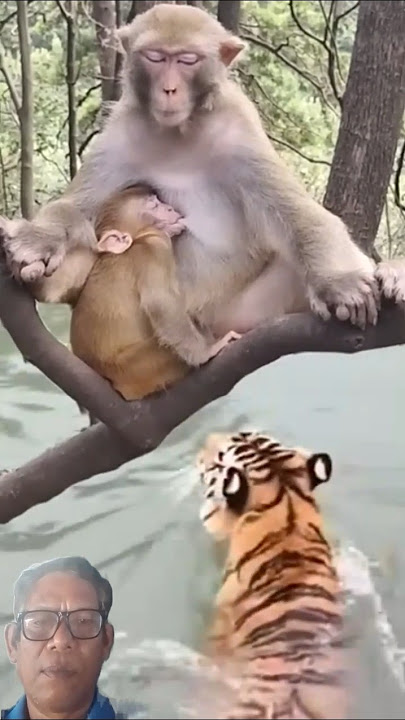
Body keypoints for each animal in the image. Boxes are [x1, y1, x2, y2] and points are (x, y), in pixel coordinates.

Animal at [1, 2, 404, 354]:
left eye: (187, 60)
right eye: (155, 57)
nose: (169, 89)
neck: (180, 132)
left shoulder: (240, 134)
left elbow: (302, 217)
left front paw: (342, 284)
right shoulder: (121, 135)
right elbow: (78, 206)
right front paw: (37, 240)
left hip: (243, 311)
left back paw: (388, 277)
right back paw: (40, 278)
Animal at [68, 185, 240, 401]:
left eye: (160, 202)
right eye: (154, 205)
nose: (170, 208)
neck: (138, 239)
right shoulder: (155, 246)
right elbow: (160, 302)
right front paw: (207, 352)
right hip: (141, 367)